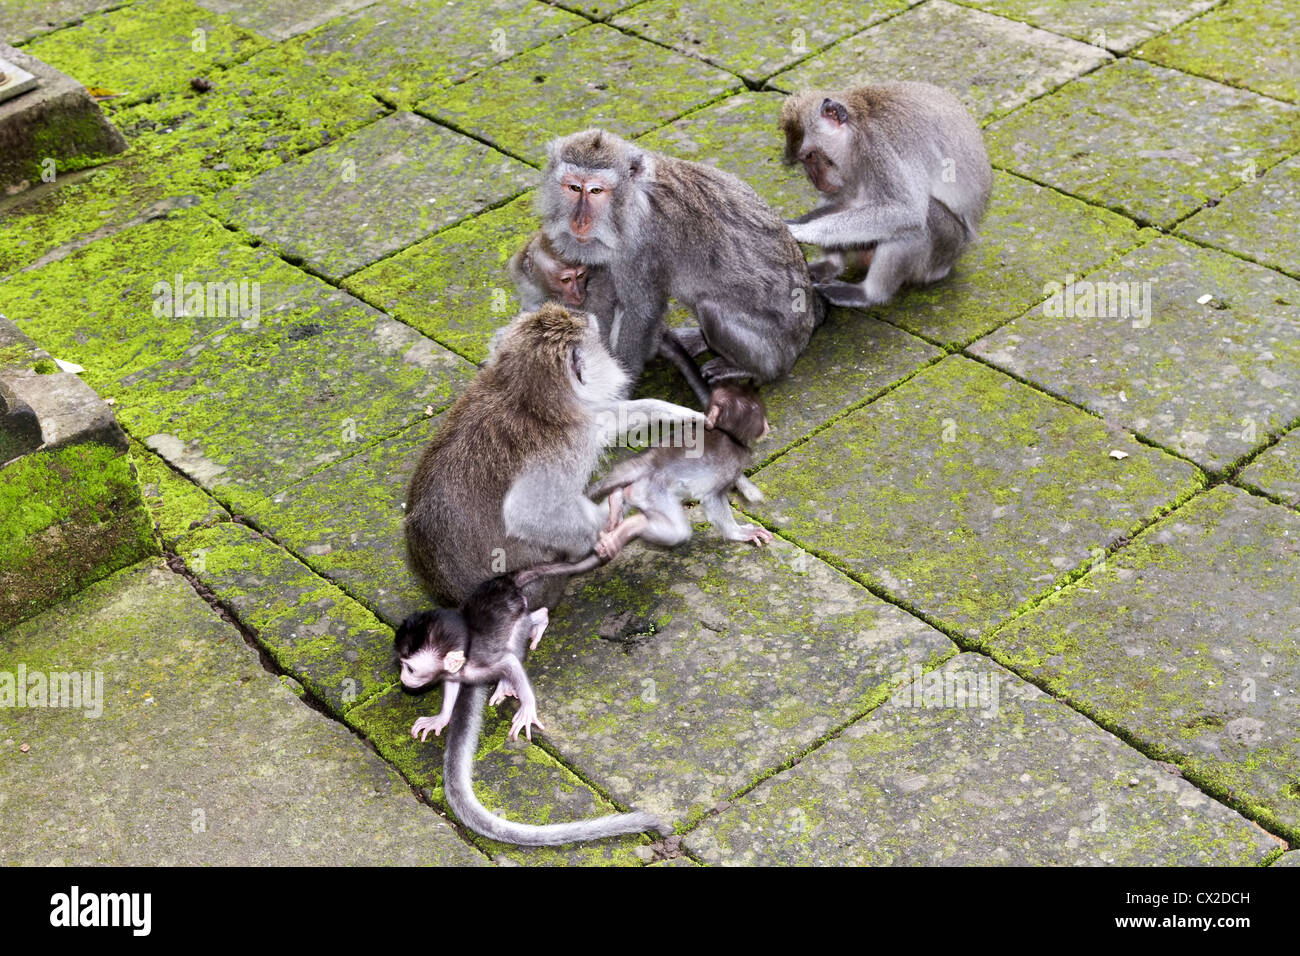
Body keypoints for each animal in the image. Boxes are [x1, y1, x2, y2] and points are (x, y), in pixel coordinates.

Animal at [396, 556, 666, 846]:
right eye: (402, 664)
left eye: (410, 668)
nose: (402, 678)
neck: (464, 654)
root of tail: (505, 581)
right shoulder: (456, 671)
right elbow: (451, 687)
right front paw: (440, 718)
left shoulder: (480, 663)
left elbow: (508, 663)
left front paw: (526, 708)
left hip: (518, 610)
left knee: (520, 630)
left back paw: (527, 645)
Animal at [405, 303, 707, 611]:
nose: (583, 312)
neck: (525, 398)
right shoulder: (567, 446)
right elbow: (525, 514)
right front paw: (599, 533)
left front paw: (682, 413)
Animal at [538, 129, 822, 388]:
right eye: (574, 187)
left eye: (596, 190)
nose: (580, 221)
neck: (631, 201)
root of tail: (804, 333)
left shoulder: (641, 246)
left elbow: (641, 310)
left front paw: (620, 386)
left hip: (772, 349)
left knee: (710, 309)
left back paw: (750, 370)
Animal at [586, 383, 774, 560]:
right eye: (757, 410)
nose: (766, 424)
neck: (727, 434)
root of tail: (649, 463)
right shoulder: (732, 462)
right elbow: (713, 499)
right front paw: (740, 533)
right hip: (653, 494)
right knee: (677, 531)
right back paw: (631, 525)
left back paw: (615, 502)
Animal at [779, 82, 992, 309]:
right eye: (804, 160)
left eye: (810, 156)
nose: (814, 179)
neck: (858, 127)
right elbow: (843, 200)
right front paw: (799, 221)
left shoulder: (879, 146)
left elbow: (906, 212)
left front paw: (803, 231)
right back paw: (831, 265)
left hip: (944, 251)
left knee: (919, 225)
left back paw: (868, 294)